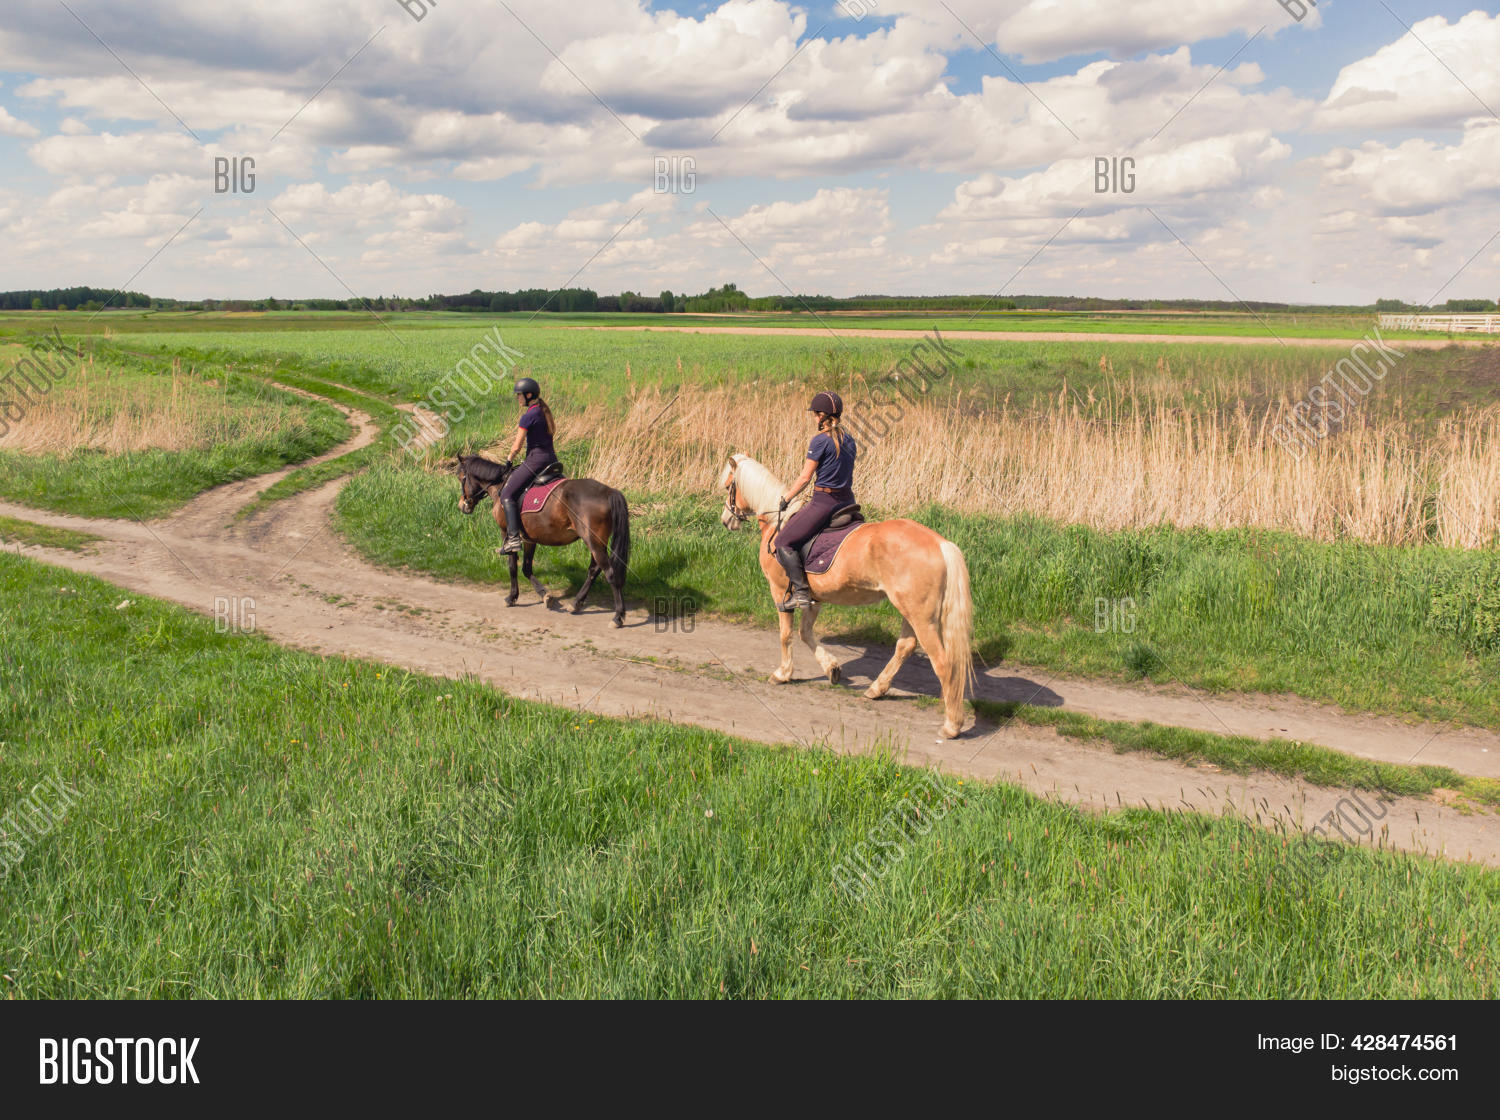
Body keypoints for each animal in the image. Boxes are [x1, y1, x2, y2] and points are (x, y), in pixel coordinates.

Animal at [456, 454, 631, 627]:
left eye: (461, 477)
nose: (462, 505)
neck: (501, 485)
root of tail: (608, 492)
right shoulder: (529, 539)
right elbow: (526, 568)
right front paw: (545, 595)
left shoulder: (507, 533)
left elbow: (512, 567)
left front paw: (512, 597)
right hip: (596, 543)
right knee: (594, 570)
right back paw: (576, 604)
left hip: (593, 542)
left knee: (610, 573)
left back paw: (618, 617)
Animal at [718, 453, 975, 739]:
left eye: (729, 486)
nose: (726, 520)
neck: (778, 522)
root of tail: (941, 544)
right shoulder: (813, 597)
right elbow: (805, 633)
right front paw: (831, 668)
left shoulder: (780, 590)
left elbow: (786, 635)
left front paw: (783, 673)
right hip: (911, 610)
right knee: (906, 646)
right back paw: (876, 689)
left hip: (921, 616)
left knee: (944, 663)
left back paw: (952, 725)